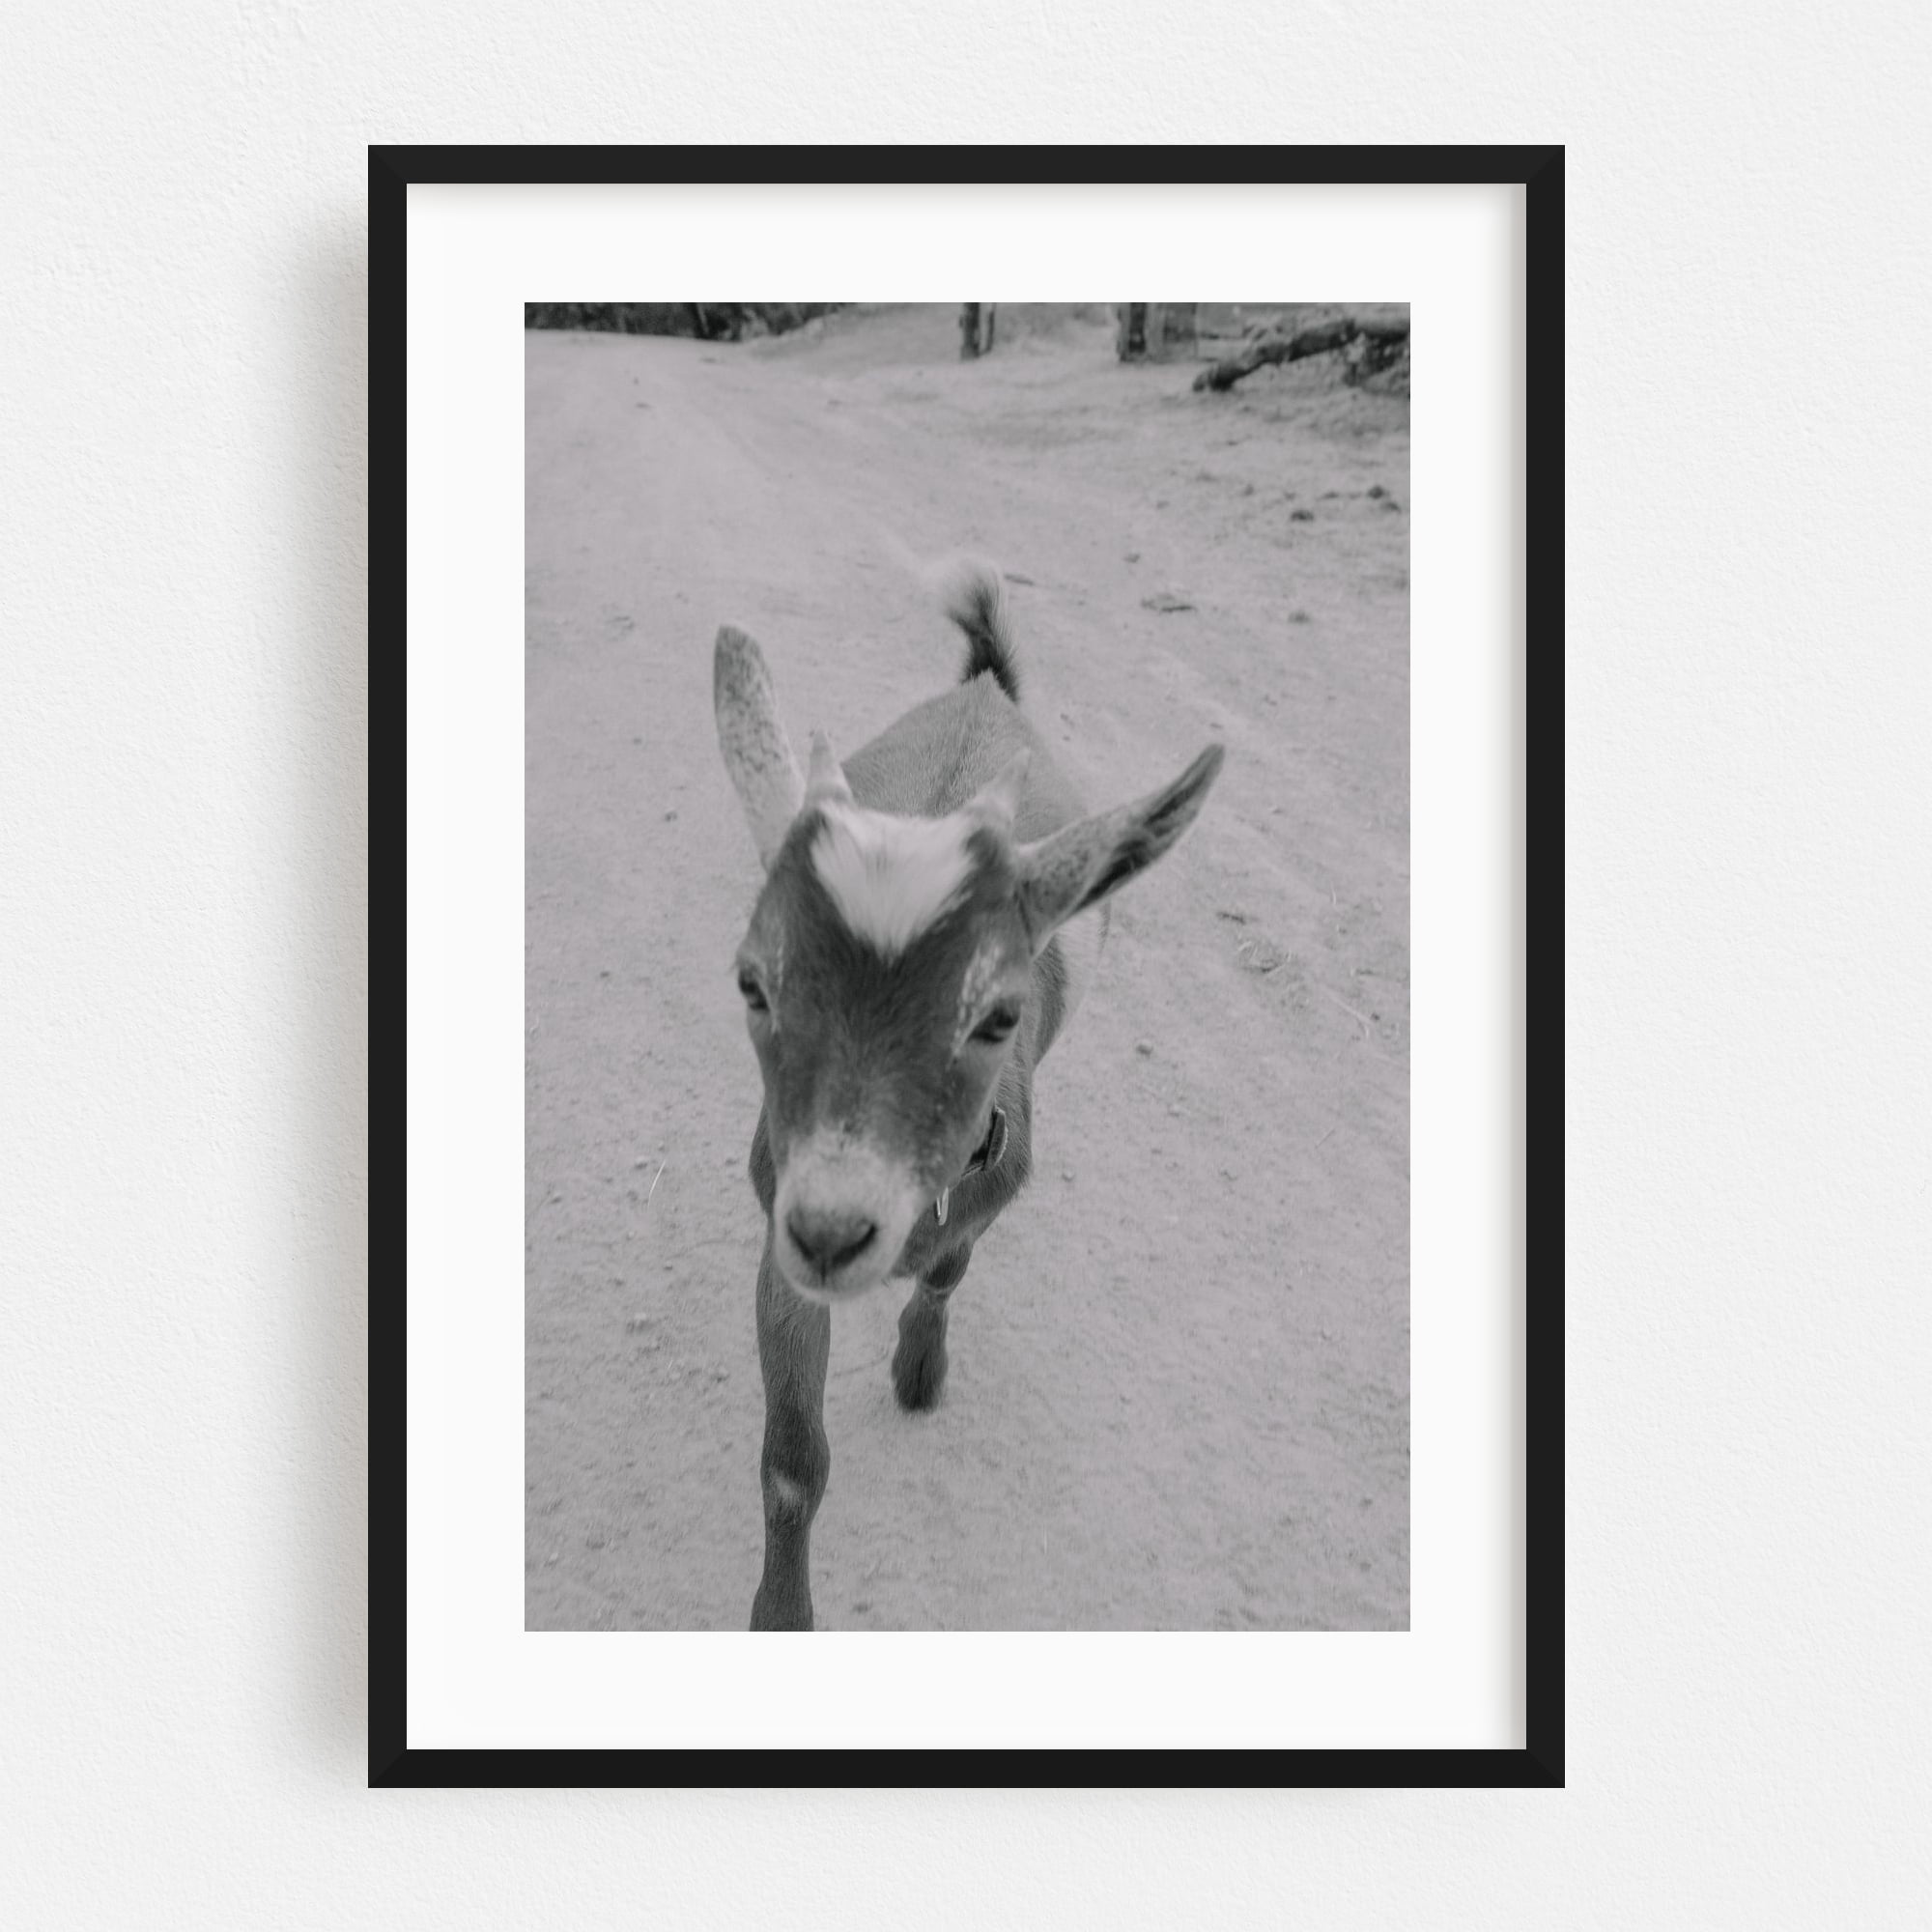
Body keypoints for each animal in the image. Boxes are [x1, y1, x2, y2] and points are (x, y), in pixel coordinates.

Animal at [713, 564, 1224, 1630]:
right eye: (753, 983)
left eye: (998, 1015)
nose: (835, 1230)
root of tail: (985, 685)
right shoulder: (780, 1238)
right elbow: (791, 1460)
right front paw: (780, 1613)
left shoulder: (994, 1177)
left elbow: (950, 1271)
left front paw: (920, 1373)